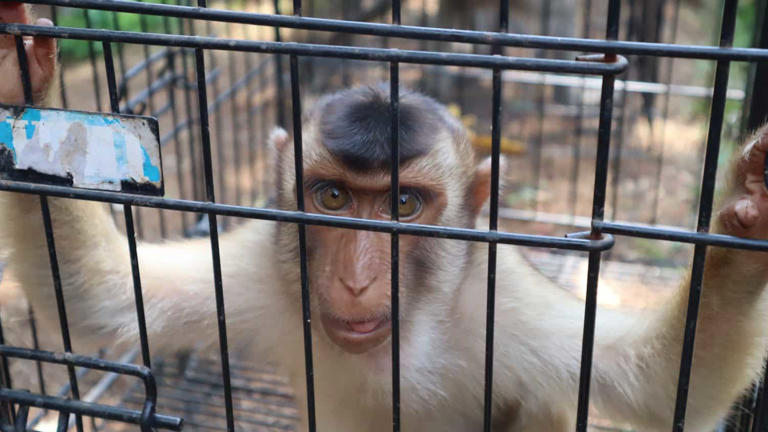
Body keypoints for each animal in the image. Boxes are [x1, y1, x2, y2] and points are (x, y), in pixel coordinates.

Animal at [2, 3, 768, 431]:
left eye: (403, 205)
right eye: (332, 198)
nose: (356, 280)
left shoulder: (497, 303)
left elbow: (660, 386)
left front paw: (747, 221)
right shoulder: (260, 270)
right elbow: (102, 300)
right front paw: (19, 78)